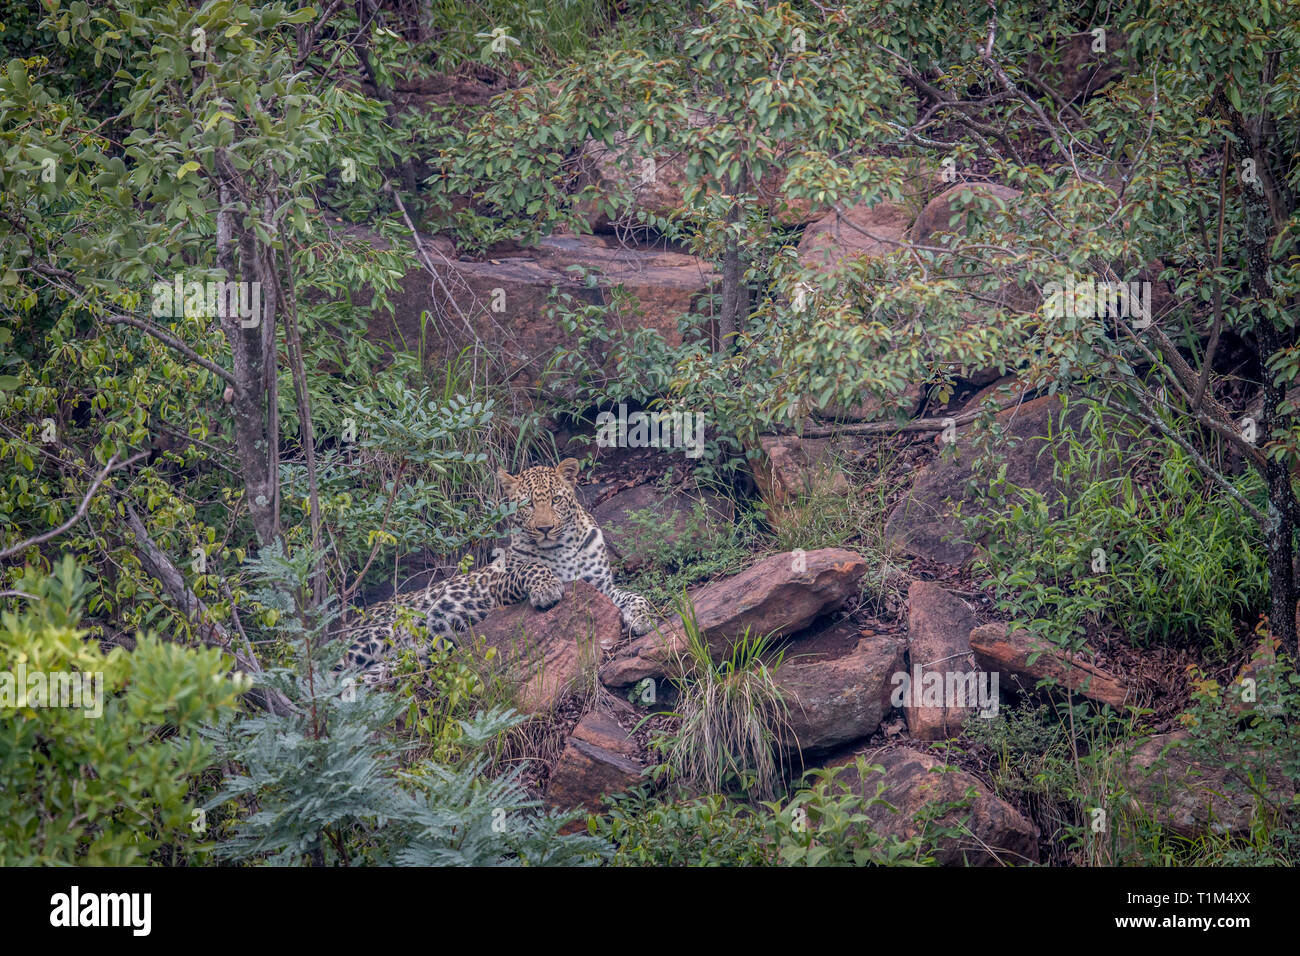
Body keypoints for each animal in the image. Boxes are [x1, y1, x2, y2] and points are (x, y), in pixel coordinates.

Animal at [339, 457, 655, 683]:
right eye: (528, 503)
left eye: (555, 499)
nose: (544, 528)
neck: (562, 547)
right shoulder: (499, 586)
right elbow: (531, 567)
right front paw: (547, 589)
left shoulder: (601, 587)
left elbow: (635, 595)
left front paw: (642, 618)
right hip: (373, 635)